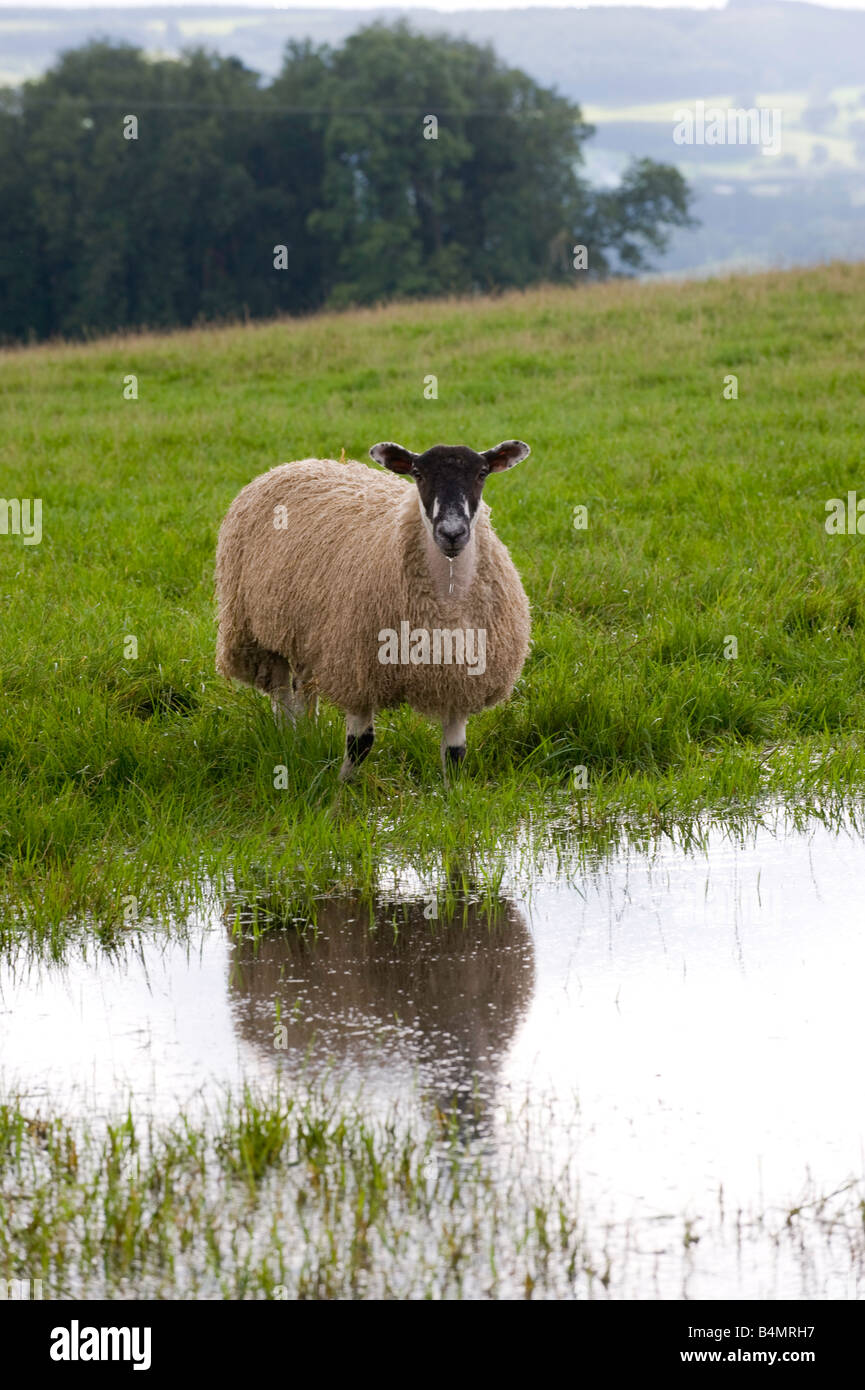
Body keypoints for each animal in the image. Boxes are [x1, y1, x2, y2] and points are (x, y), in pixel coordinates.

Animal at [215, 440, 531, 778]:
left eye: (482, 473)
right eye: (418, 474)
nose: (452, 533)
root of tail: (298, 464)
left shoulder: (459, 681)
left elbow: (455, 754)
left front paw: (453, 793)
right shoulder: (357, 672)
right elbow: (360, 744)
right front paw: (340, 788)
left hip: (305, 632)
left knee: (304, 688)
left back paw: (306, 735)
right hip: (257, 630)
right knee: (281, 692)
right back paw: (288, 737)